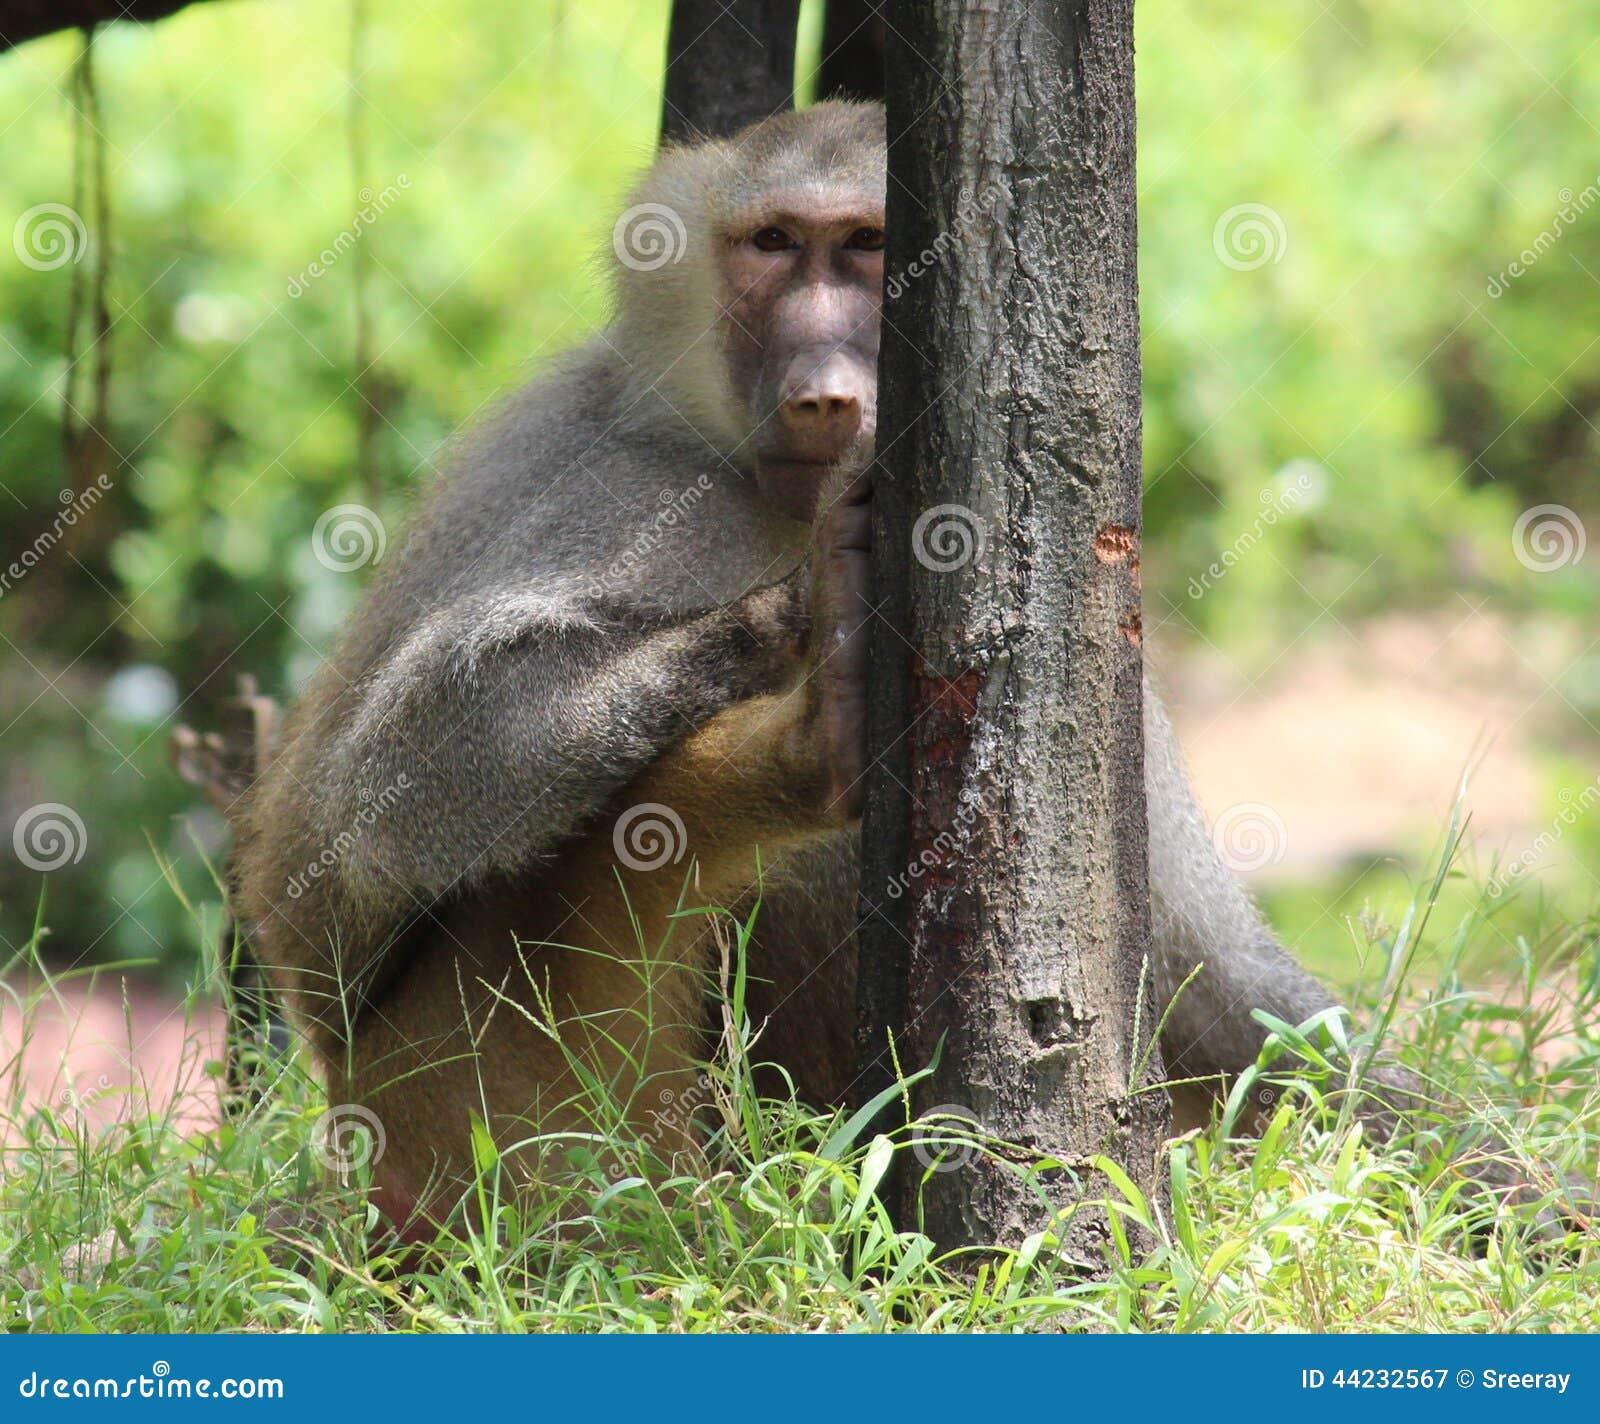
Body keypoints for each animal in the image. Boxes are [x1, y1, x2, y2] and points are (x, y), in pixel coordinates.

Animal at [230, 101, 1470, 1239]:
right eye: (775, 243)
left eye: (870, 246)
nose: (823, 392)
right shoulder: (576, 461)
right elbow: (384, 796)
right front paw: (802, 610)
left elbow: (1214, 985)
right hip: (444, 1116)